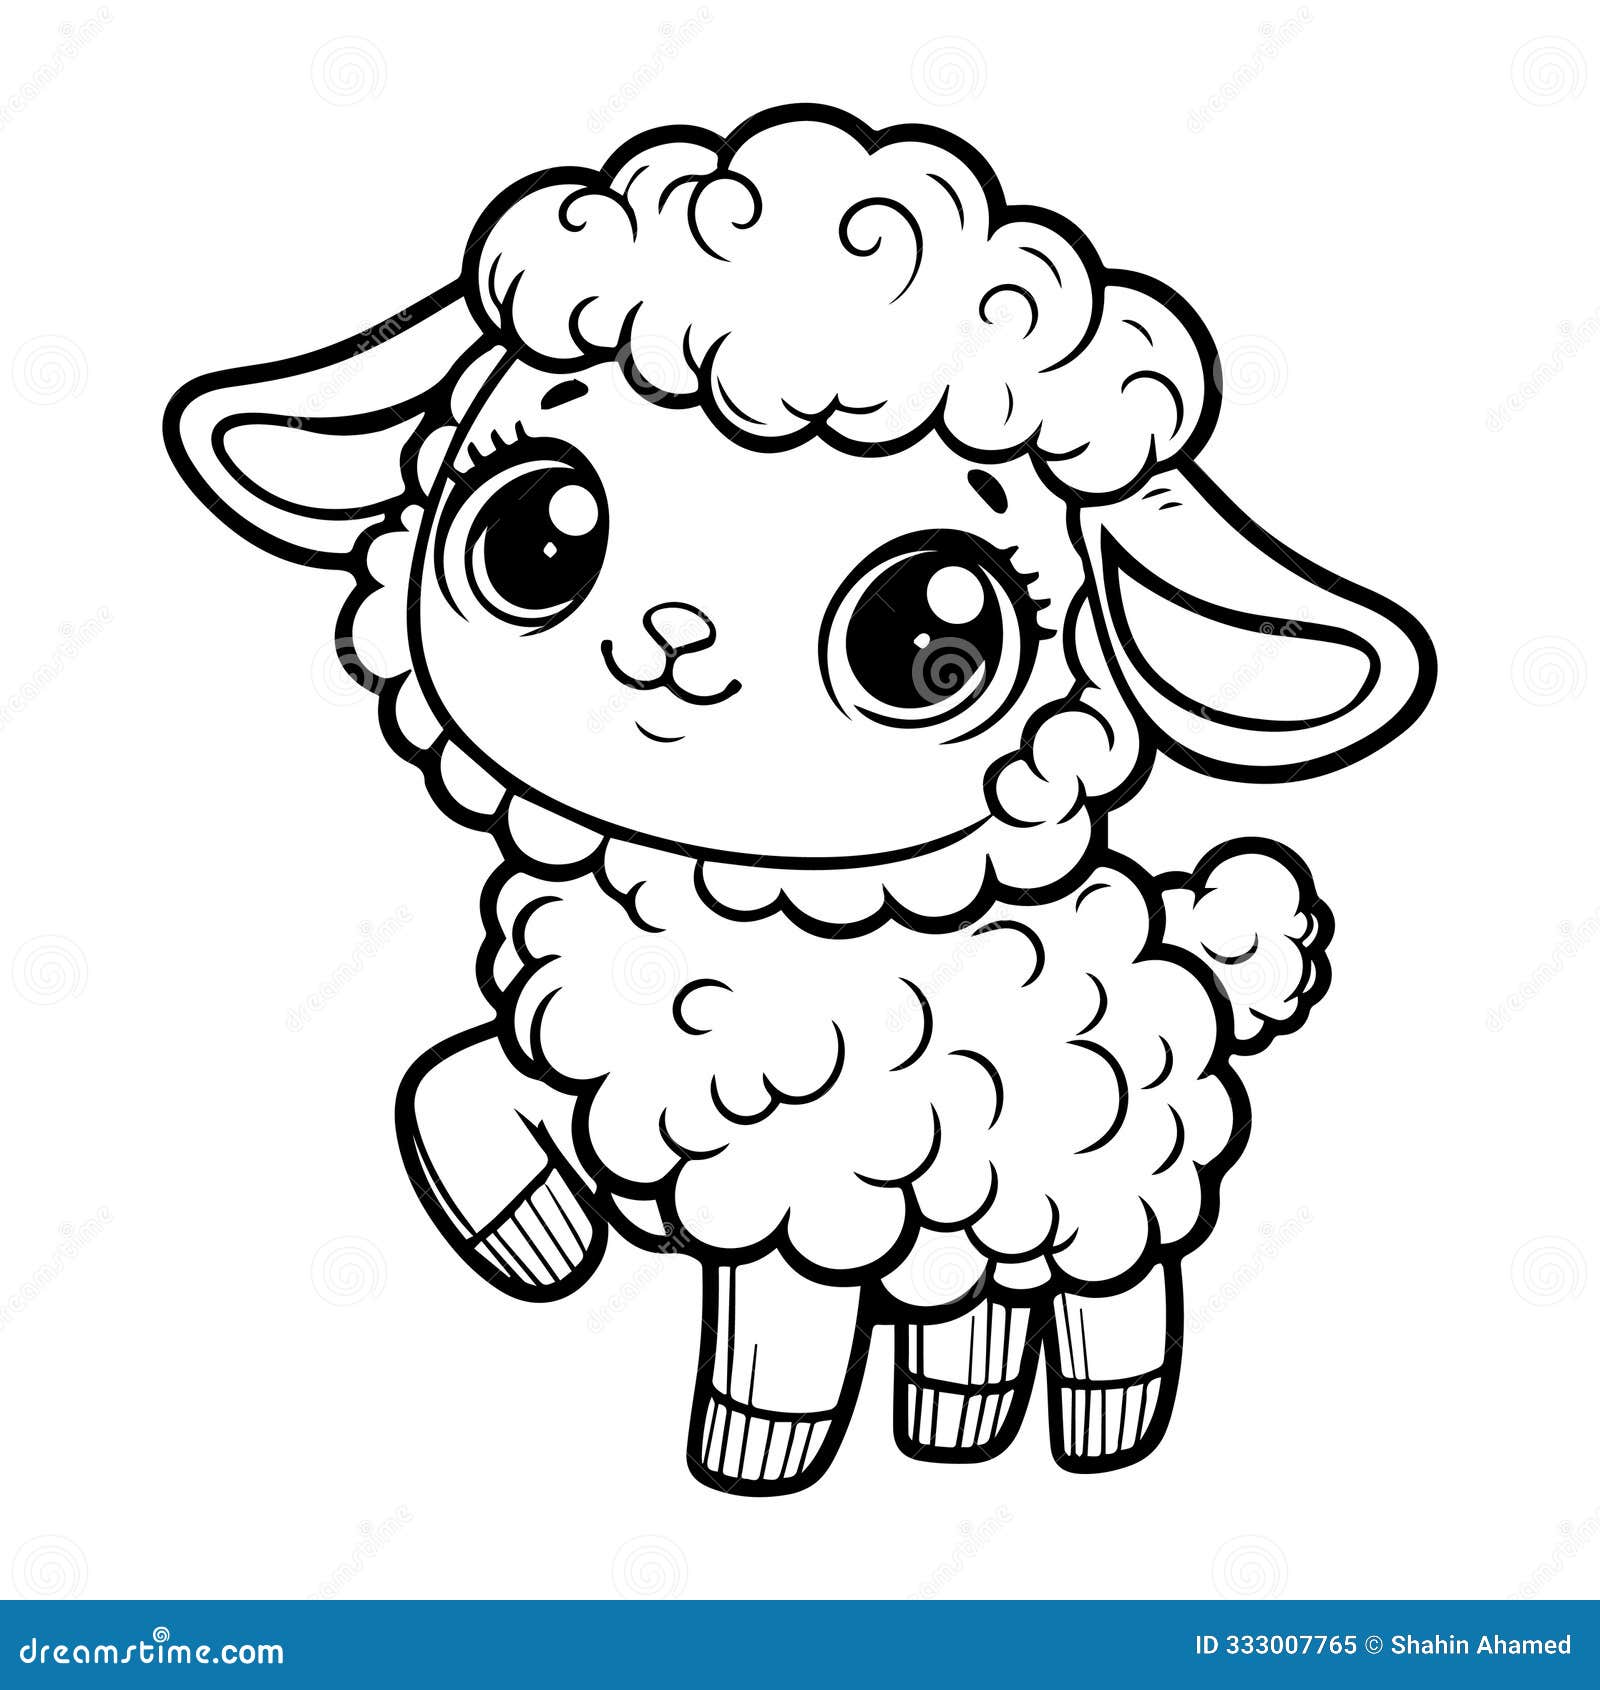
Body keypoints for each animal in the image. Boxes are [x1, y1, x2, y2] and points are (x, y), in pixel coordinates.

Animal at [165, 105, 1434, 1493]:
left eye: (932, 636)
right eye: (537, 535)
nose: (670, 638)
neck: (762, 926)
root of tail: (1190, 948)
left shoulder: (801, 1193)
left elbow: (783, 1342)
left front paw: (750, 1456)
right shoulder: (613, 1097)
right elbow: (453, 1083)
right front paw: (530, 1238)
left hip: (1094, 1208)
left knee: (1116, 1311)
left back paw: (1103, 1428)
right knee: (968, 1317)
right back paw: (952, 1422)